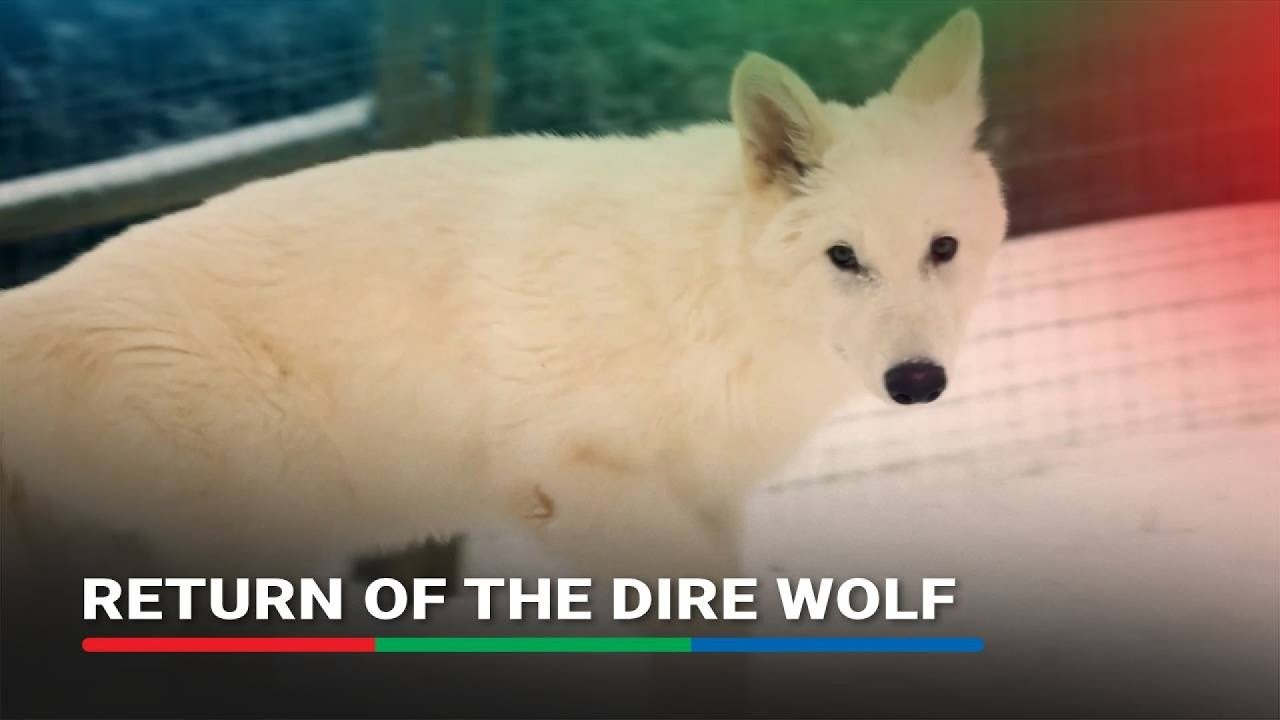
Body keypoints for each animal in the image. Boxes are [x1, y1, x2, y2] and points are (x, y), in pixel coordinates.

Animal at [0, 10, 1006, 582]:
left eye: (942, 249)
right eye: (844, 257)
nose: (918, 383)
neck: (712, 301)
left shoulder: (709, 503)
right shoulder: (572, 485)